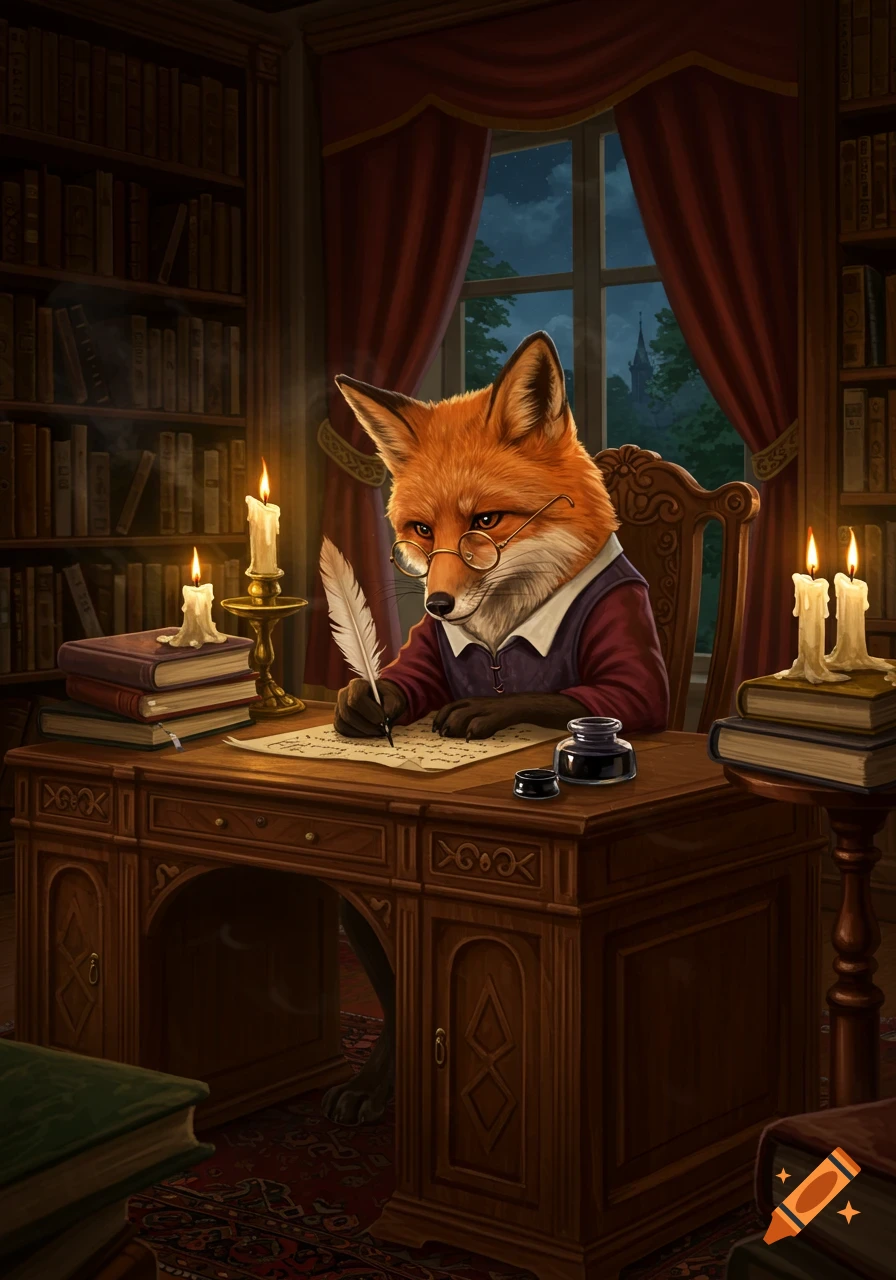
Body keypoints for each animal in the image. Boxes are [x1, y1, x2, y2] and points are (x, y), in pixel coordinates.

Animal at [321, 333, 669, 1127]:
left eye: (486, 522)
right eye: (423, 531)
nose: (438, 603)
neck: (505, 630)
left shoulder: (631, 674)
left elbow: (564, 694)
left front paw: (482, 712)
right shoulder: (426, 650)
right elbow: (407, 678)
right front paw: (366, 701)